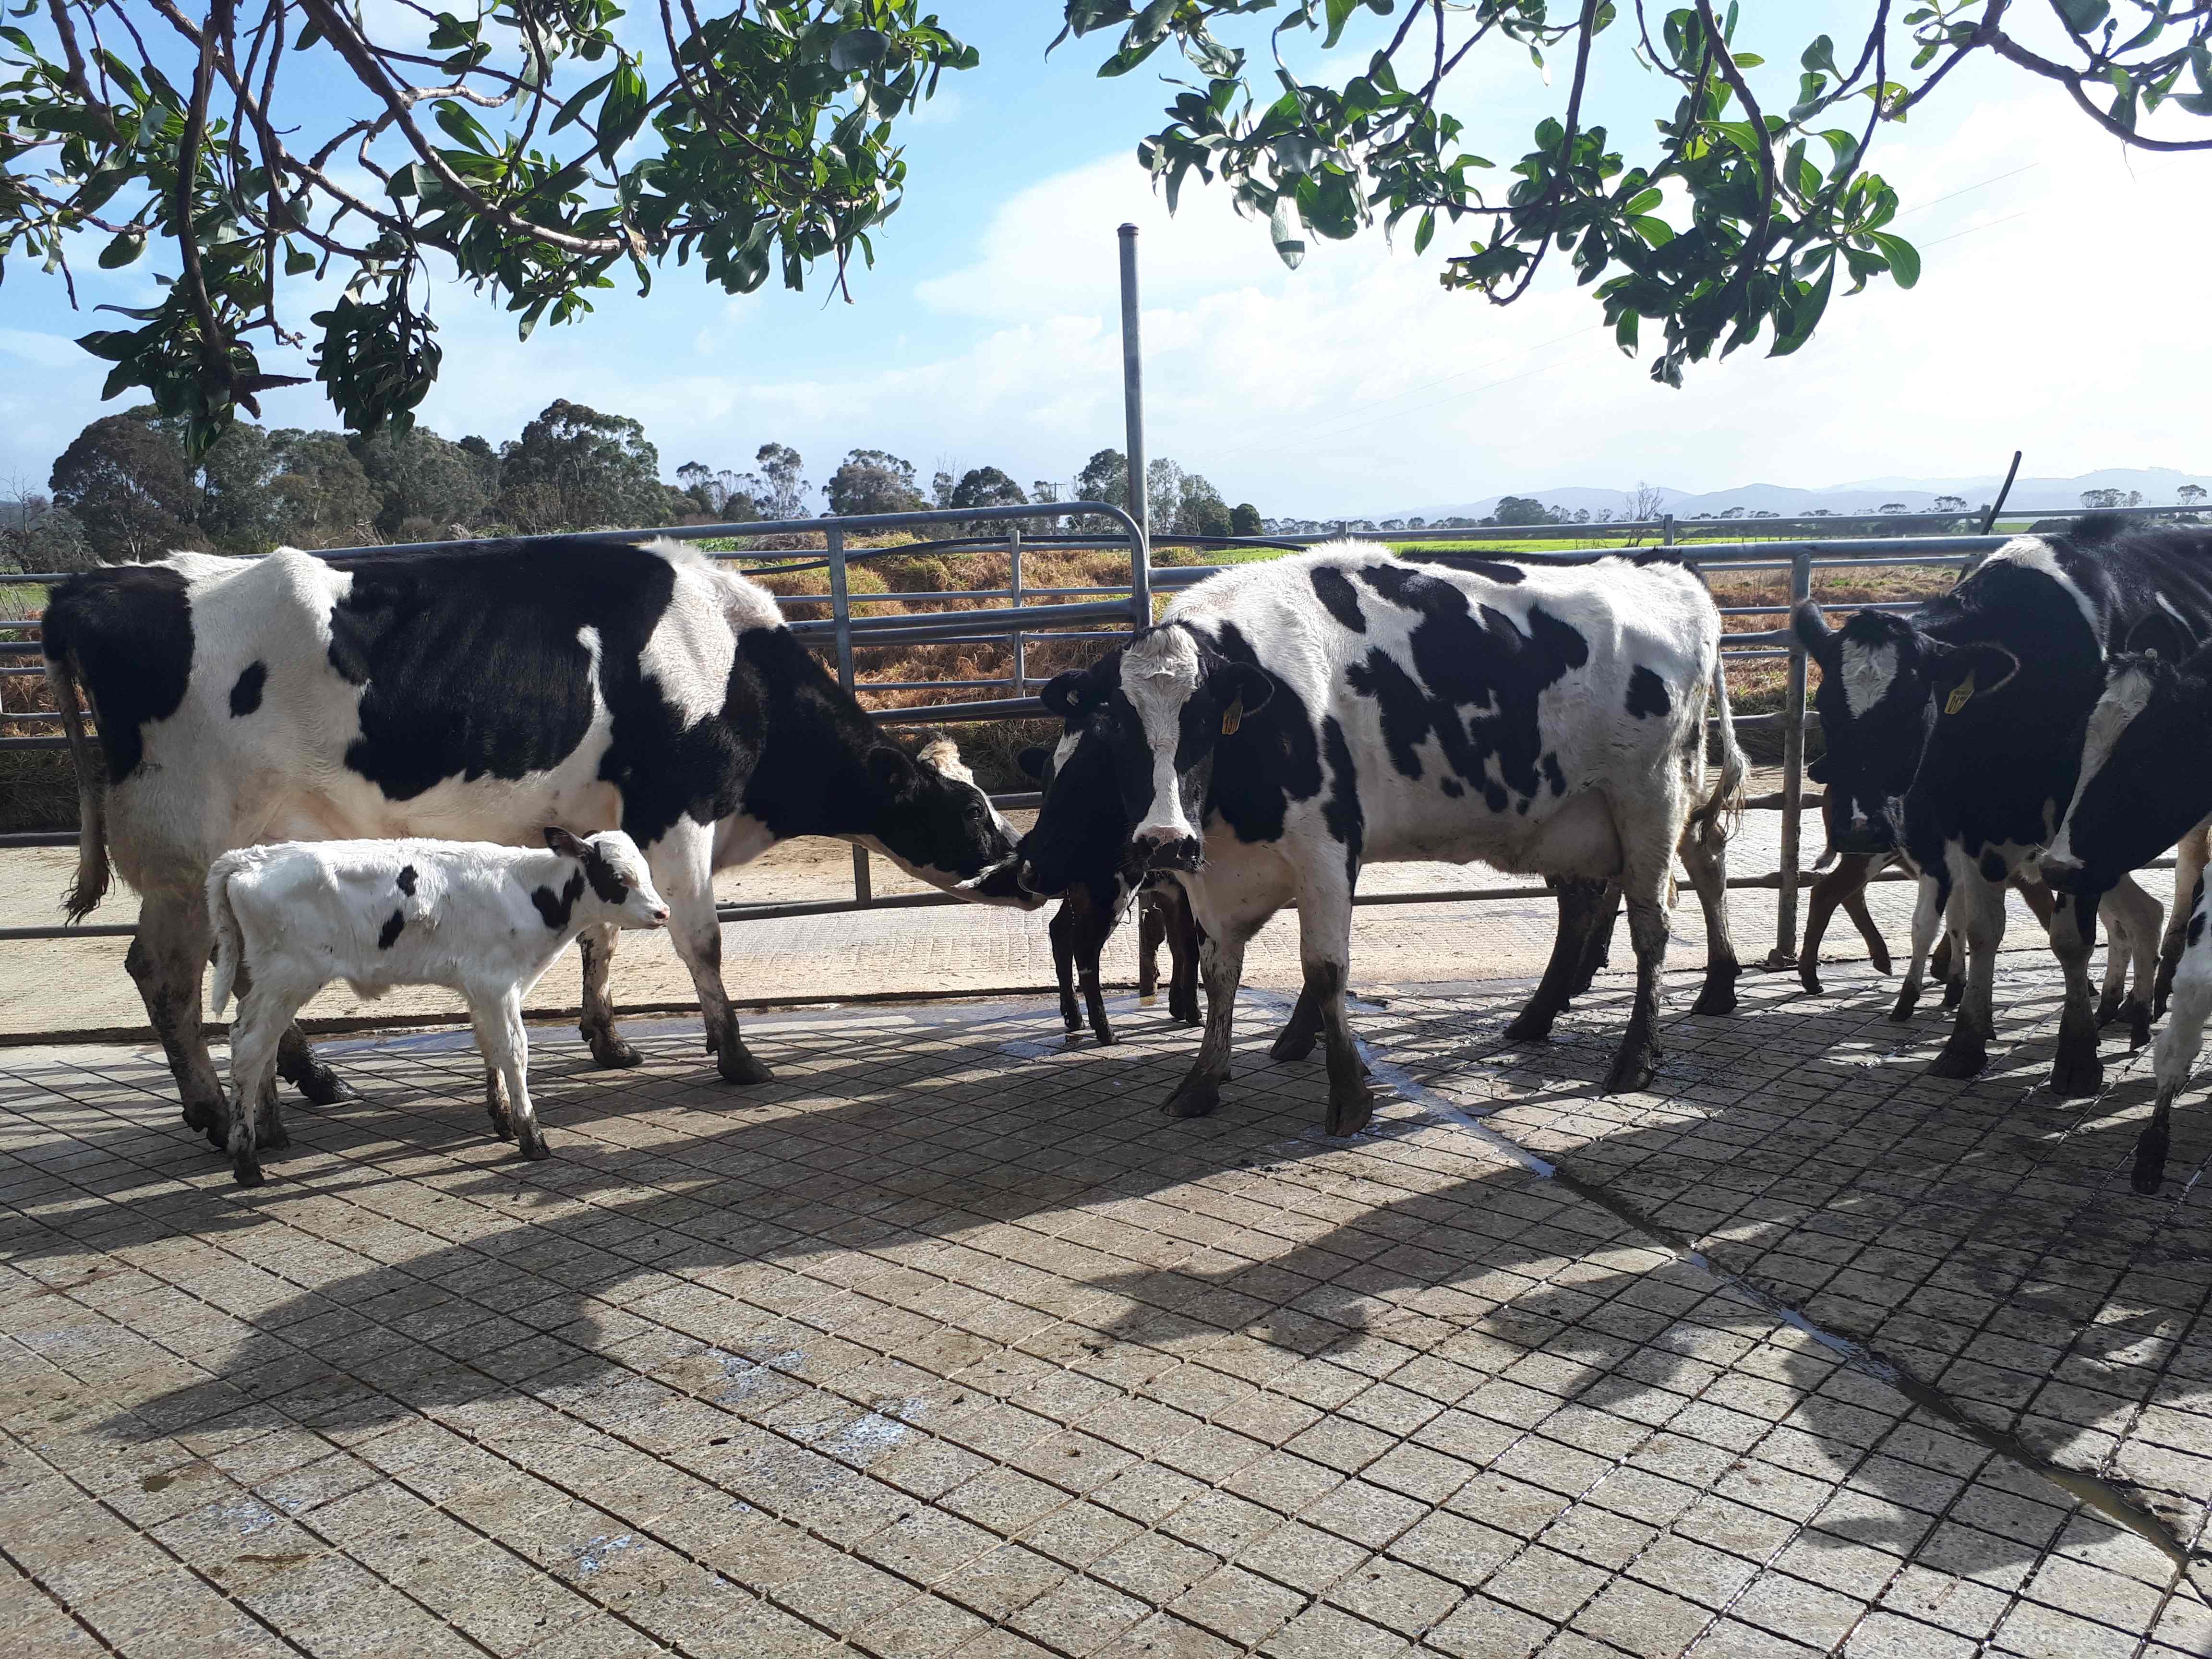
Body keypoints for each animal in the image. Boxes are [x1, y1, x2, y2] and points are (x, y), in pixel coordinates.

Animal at [43, 538, 1035, 1138]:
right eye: (972, 814)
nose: (1028, 871)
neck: (725, 661)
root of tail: (105, 582)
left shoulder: (601, 821)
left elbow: (602, 936)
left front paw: (606, 1039)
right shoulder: (676, 814)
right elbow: (701, 941)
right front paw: (736, 1054)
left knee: (242, 970)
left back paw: (309, 1081)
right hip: (179, 855)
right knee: (164, 978)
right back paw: (216, 1113)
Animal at [208, 829, 669, 1184]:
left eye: (647, 872)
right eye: (618, 877)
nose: (663, 912)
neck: (528, 892)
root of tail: (249, 858)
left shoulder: (483, 989)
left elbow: (489, 1046)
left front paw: (503, 1119)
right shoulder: (498, 984)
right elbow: (515, 1052)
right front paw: (531, 1135)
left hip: (275, 982)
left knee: (264, 1048)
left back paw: (271, 1134)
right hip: (288, 976)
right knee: (248, 1048)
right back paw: (246, 1160)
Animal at [1015, 544, 1746, 1132]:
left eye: (1203, 721)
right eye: (1118, 728)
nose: (1163, 841)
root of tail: (1666, 569)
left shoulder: (1326, 848)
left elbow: (1325, 969)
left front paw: (1347, 1093)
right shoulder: (1217, 876)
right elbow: (1222, 971)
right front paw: (1203, 1079)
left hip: (1651, 801)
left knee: (1654, 924)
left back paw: (1638, 1055)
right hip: (1577, 816)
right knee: (1591, 904)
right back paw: (1541, 1017)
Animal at [1793, 516, 2212, 1093]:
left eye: (1912, 704)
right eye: (1826, 706)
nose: (1859, 831)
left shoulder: (2075, 828)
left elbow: (2069, 939)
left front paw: (2076, 1059)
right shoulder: (1970, 825)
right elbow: (1981, 930)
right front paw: (1966, 1042)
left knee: (2187, 871)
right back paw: (2129, 1005)